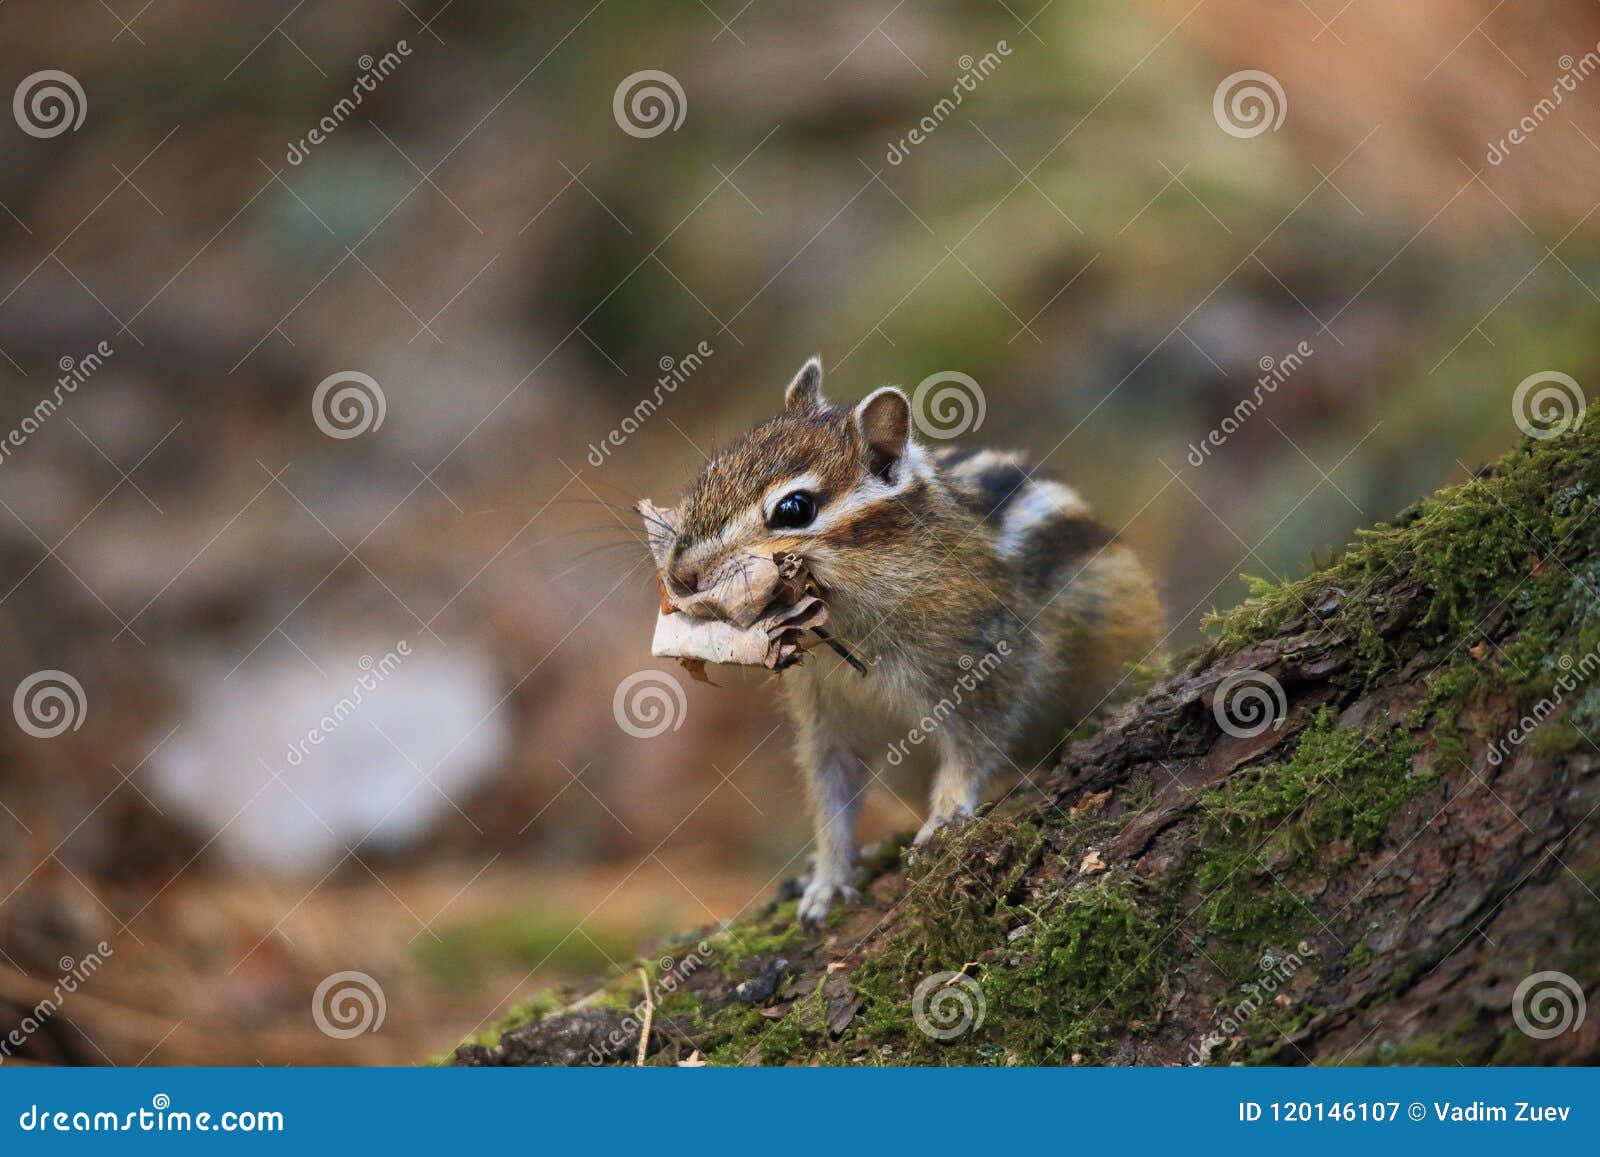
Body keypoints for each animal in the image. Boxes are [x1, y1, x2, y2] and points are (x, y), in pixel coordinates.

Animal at [642, 357, 1162, 923]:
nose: (681, 574)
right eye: (710, 475)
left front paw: (947, 814)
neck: (852, 625)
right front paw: (828, 878)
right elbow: (831, 790)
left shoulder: (991, 663)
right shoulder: (827, 717)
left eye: (794, 509)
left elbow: (974, 745)